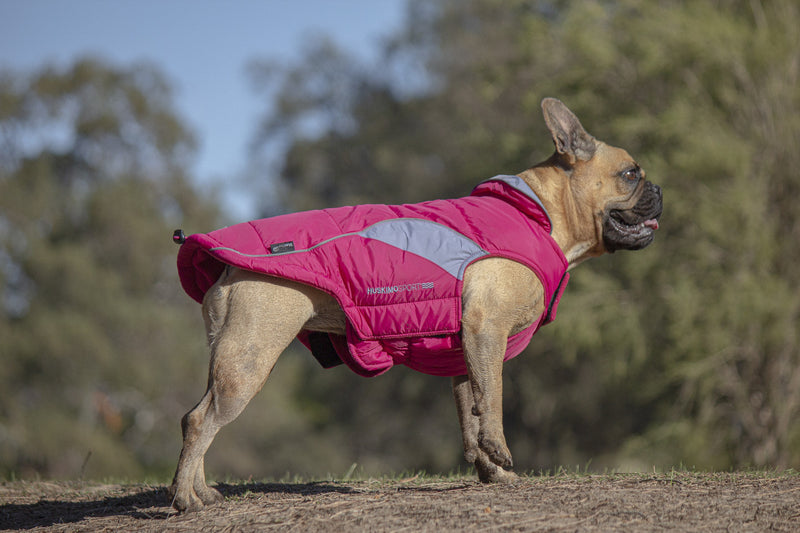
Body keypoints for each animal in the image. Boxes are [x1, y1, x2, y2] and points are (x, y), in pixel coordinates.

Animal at [167, 97, 664, 510]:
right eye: (630, 174)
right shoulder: (488, 331)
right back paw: (186, 501)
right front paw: (501, 452)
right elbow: (494, 400)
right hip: (250, 359)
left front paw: (490, 472)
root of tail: (225, 265)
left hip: (229, 357)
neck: (541, 213)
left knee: (195, 415)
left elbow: (471, 413)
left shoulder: (464, 352)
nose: (660, 190)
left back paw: (199, 492)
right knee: (202, 421)